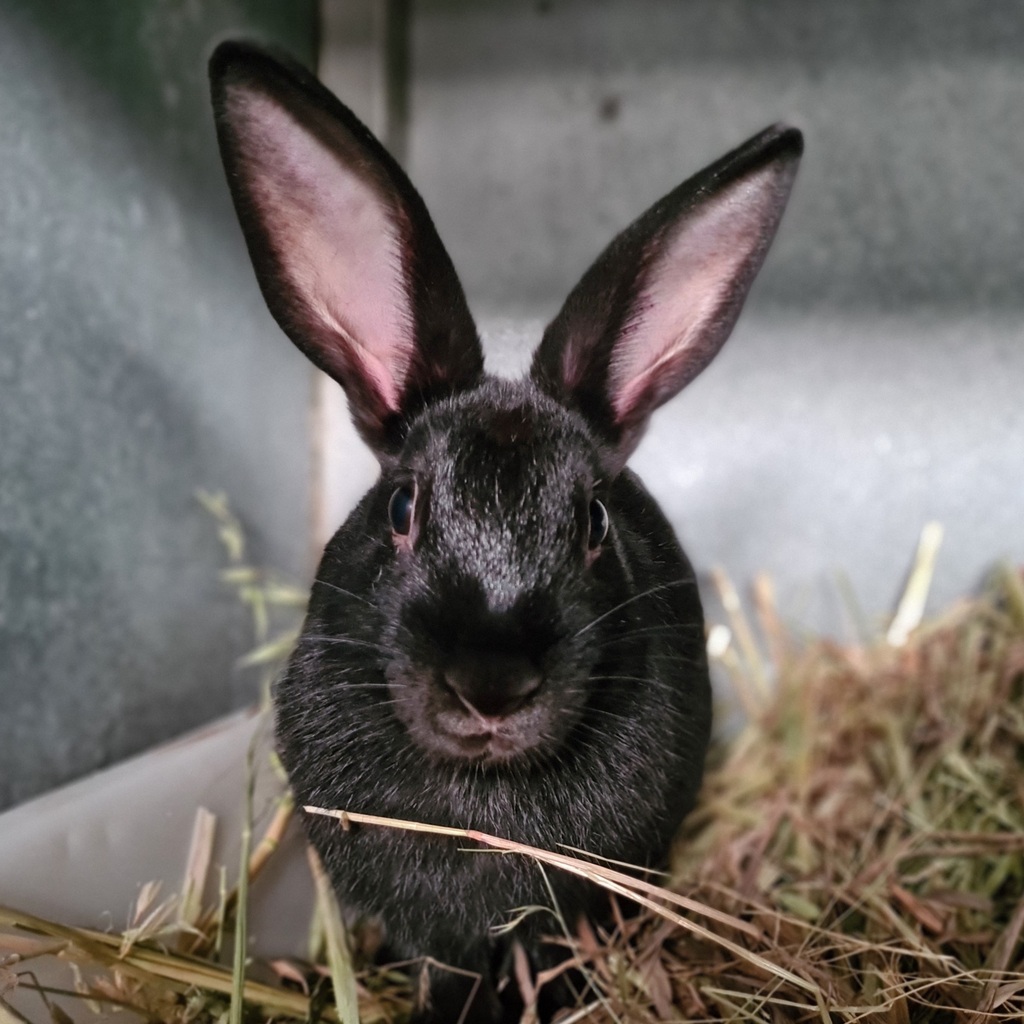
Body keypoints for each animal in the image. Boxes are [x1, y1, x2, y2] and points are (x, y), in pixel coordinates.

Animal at [209, 40, 801, 1024]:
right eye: (402, 507)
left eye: (594, 520)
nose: (491, 688)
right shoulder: (428, 927)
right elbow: (444, 968)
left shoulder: (579, 903)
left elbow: (550, 957)